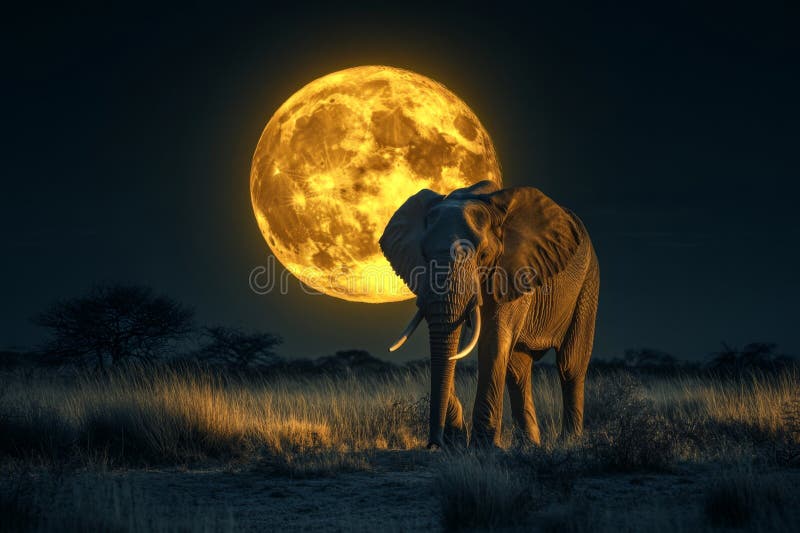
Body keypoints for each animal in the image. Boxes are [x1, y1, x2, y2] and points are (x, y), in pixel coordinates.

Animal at [379, 180, 599, 449]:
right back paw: (530, 444)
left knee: (570, 363)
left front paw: (483, 446)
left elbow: (492, 340)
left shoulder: (516, 268)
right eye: (424, 255)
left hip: (588, 282)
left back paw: (569, 442)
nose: (434, 443)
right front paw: (458, 442)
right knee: (518, 371)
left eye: (482, 255)